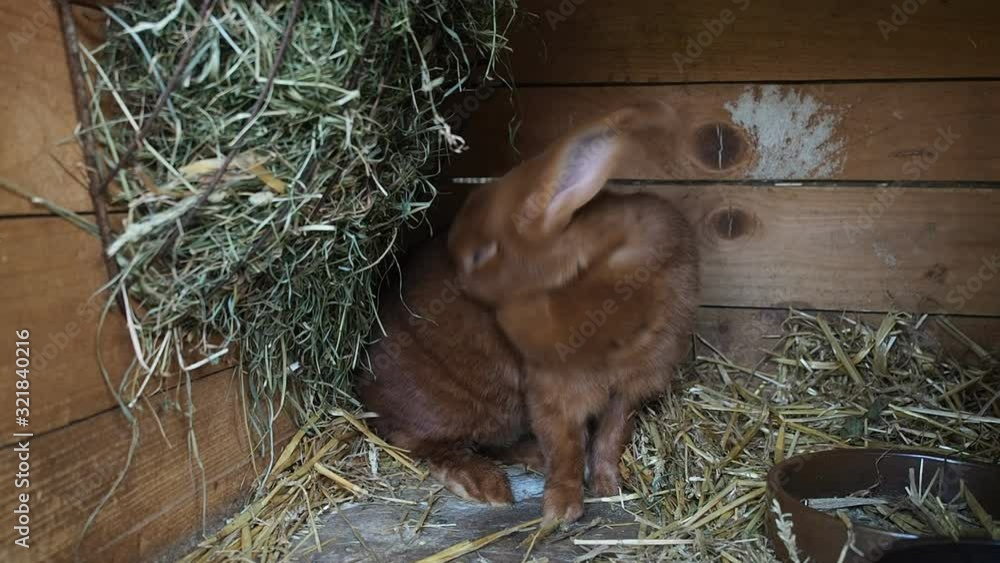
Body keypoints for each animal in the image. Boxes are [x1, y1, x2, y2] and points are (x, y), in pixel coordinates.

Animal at [446, 102, 700, 524]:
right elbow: (565, 448)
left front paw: (606, 487)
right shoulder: (556, 392)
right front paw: (562, 508)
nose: (452, 267)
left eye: (480, 254)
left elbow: (610, 437)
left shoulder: (630, 385)